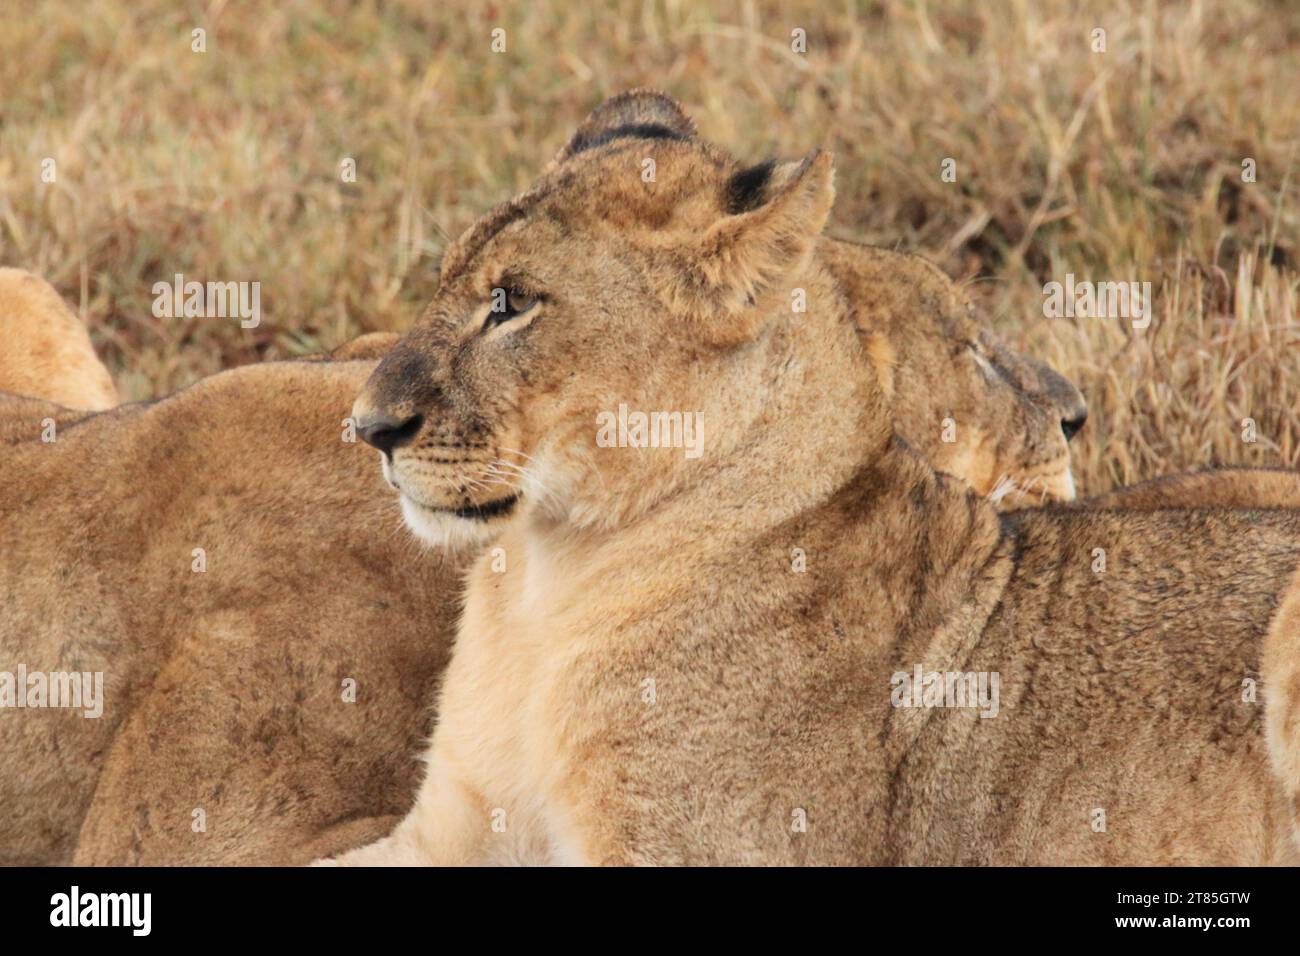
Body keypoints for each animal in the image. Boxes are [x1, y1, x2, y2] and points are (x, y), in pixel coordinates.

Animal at [333, 90, 1300, 866]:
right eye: (449, 282)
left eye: (514, 303)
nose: (369, 428)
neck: (545, 584)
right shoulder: (452, 824)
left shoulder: (701, 849)